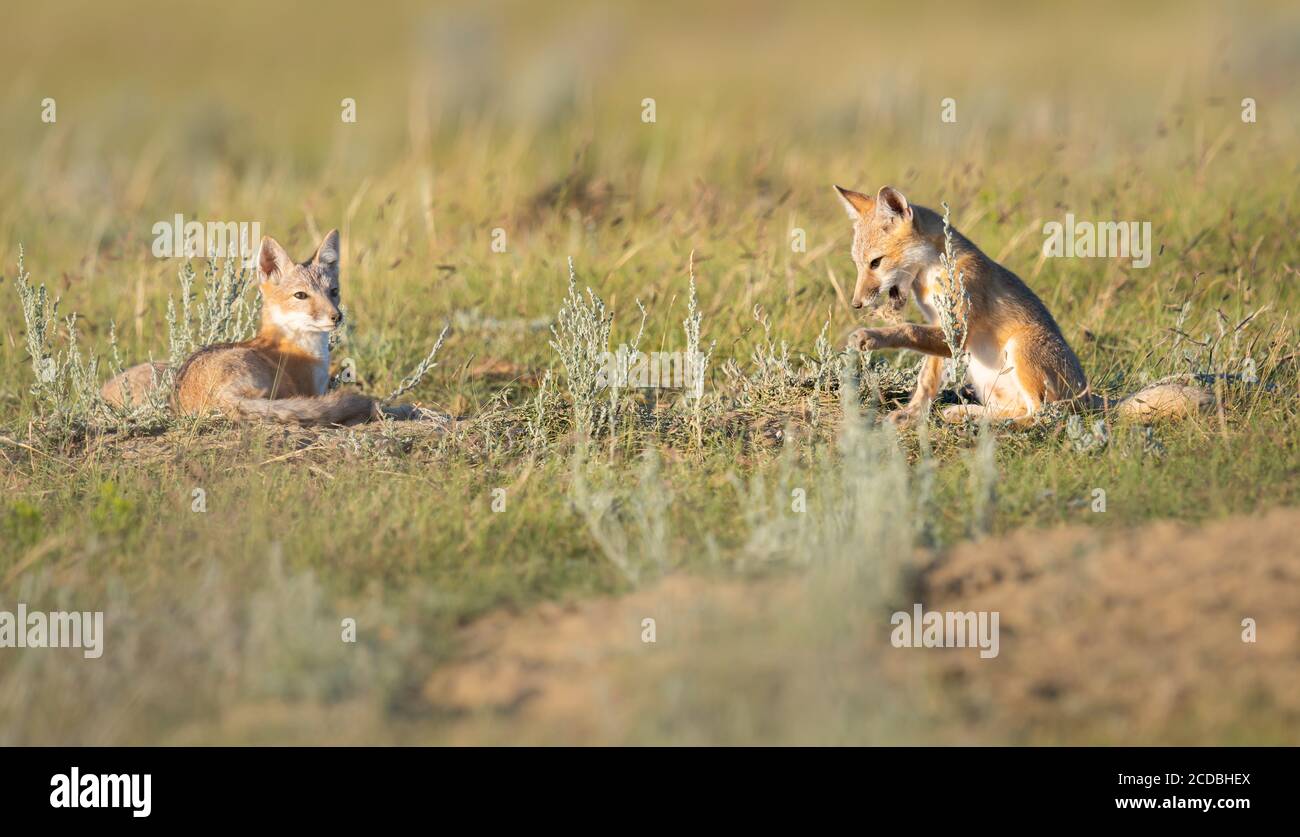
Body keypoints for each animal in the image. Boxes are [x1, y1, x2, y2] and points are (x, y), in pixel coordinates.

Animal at [834, 184, 1211, 426]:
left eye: (876, 263)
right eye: (858, 265)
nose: (856, 303)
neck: (933, 273)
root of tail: (1088, 394)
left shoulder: (957, 329)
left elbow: (908, 330)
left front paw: (871, 335)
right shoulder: (943, 329)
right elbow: (926, 381)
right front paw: (912, 414)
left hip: (1022, 348)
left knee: (1042, 417)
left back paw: (991, 428)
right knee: (1019, 411)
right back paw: (970, 416)